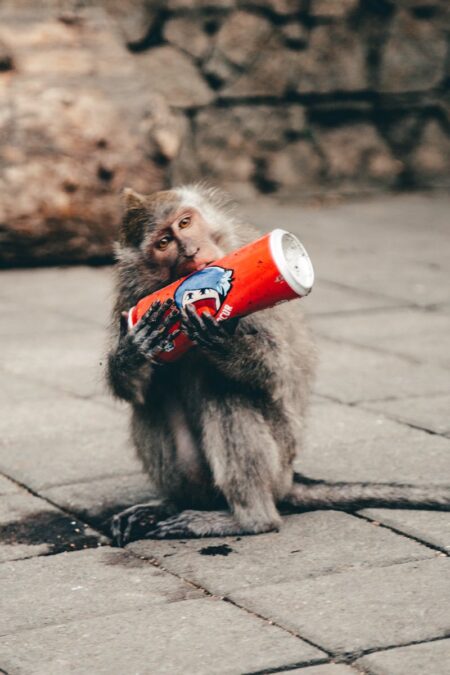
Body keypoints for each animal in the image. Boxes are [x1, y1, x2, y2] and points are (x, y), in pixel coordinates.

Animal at [106, 184, 450, 546]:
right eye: (163, 242)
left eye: (185, 223)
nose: (190, 251)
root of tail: (287, 478)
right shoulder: (129, 297)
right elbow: (137, 392)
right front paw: (134, 348)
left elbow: (276, 369)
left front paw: (222, 340)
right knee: (154, 403)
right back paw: (174, 504)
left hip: (279, 457)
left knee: (226, 393)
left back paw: (250, 519)